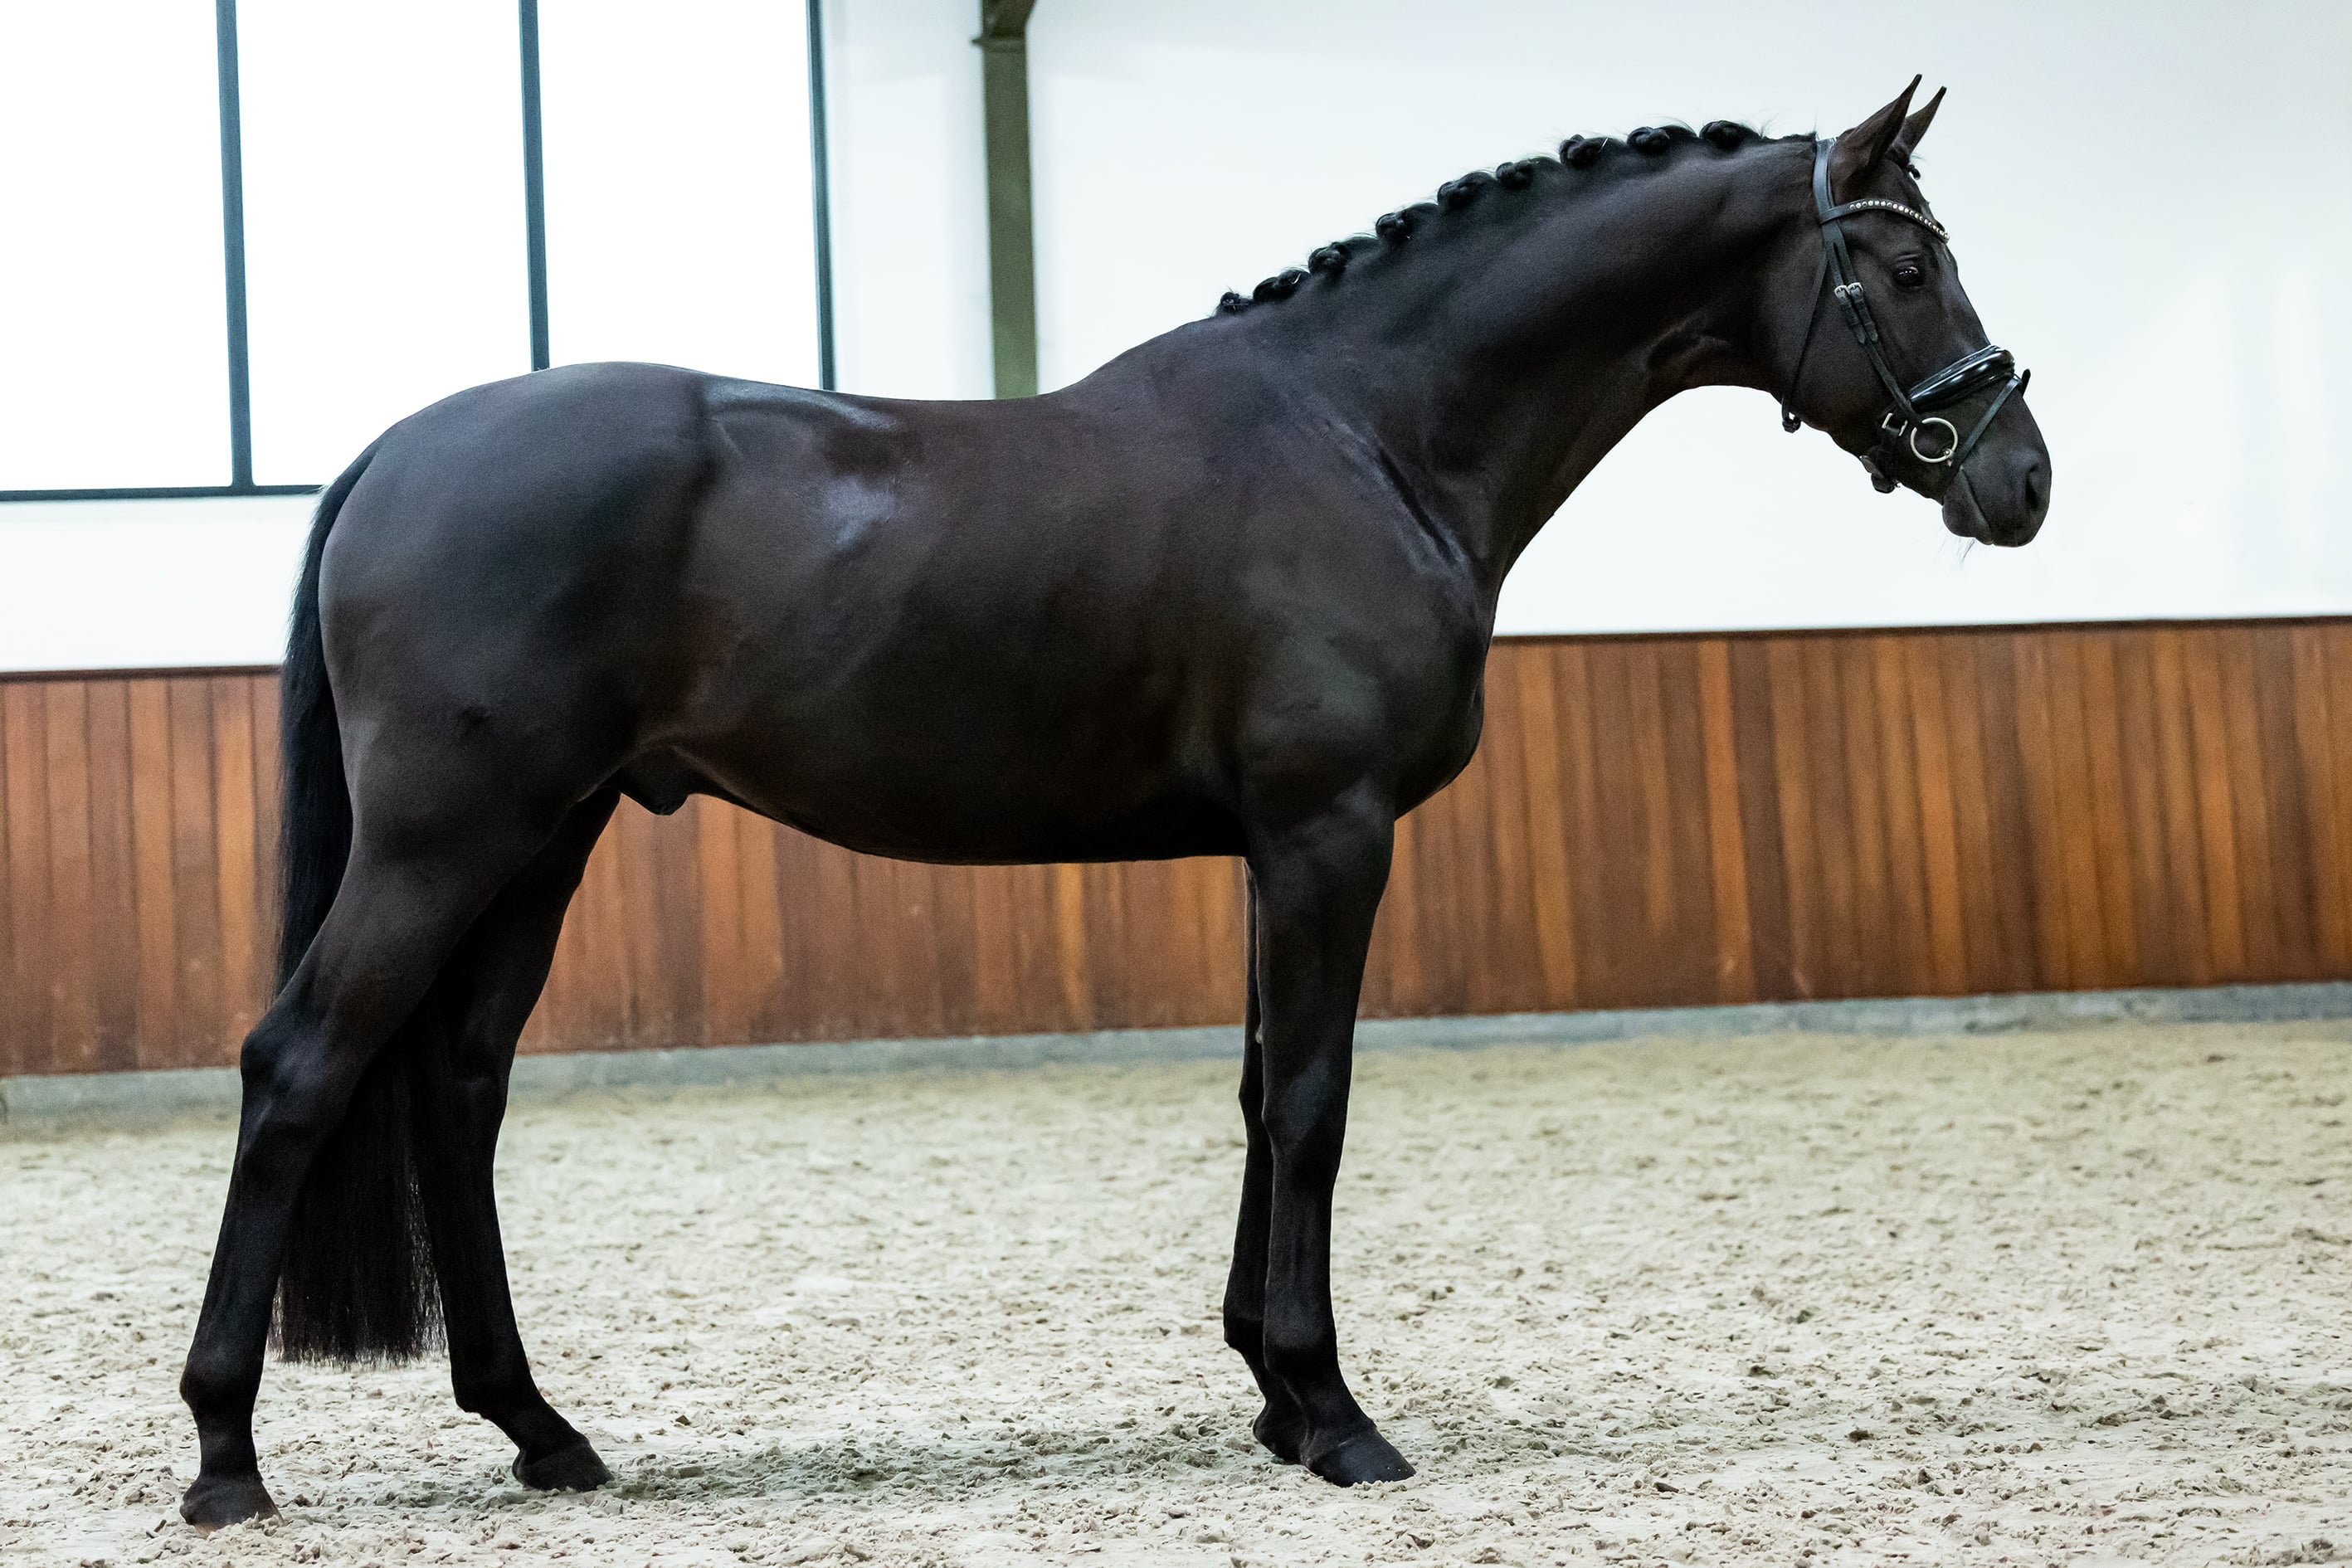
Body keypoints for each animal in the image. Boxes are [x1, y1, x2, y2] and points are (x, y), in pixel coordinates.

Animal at [177, 78, 2049, 1527]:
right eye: (1902, 261)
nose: (2020, 481)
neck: (1369, 430)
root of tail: (394, 452)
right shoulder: (1329, 834)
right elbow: (1312, 1105)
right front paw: (1336, 1415)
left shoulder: (1276, 851)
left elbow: (1256, 1097)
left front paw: (1275, 1400)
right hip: (449, 842)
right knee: (301, 1067)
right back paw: (225, 1459)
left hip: (540, 845)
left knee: (458, 1090)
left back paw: (542, 1432)